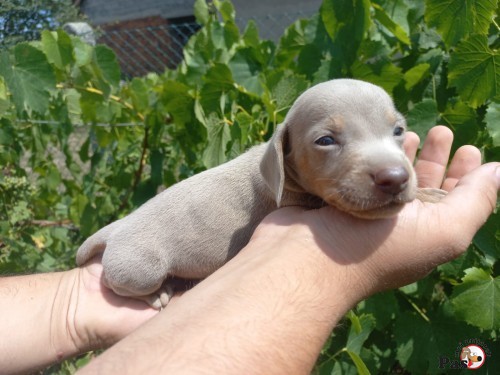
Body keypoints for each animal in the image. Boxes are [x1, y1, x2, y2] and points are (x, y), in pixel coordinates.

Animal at [75, 78, 446, 308]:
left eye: (398, 130)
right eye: (326, 140)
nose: (395, 179)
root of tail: (116, 228)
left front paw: (426, 191)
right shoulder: (301, 200)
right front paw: (427, 196)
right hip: (142, 266)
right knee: (117, 283)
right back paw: (156, 295)